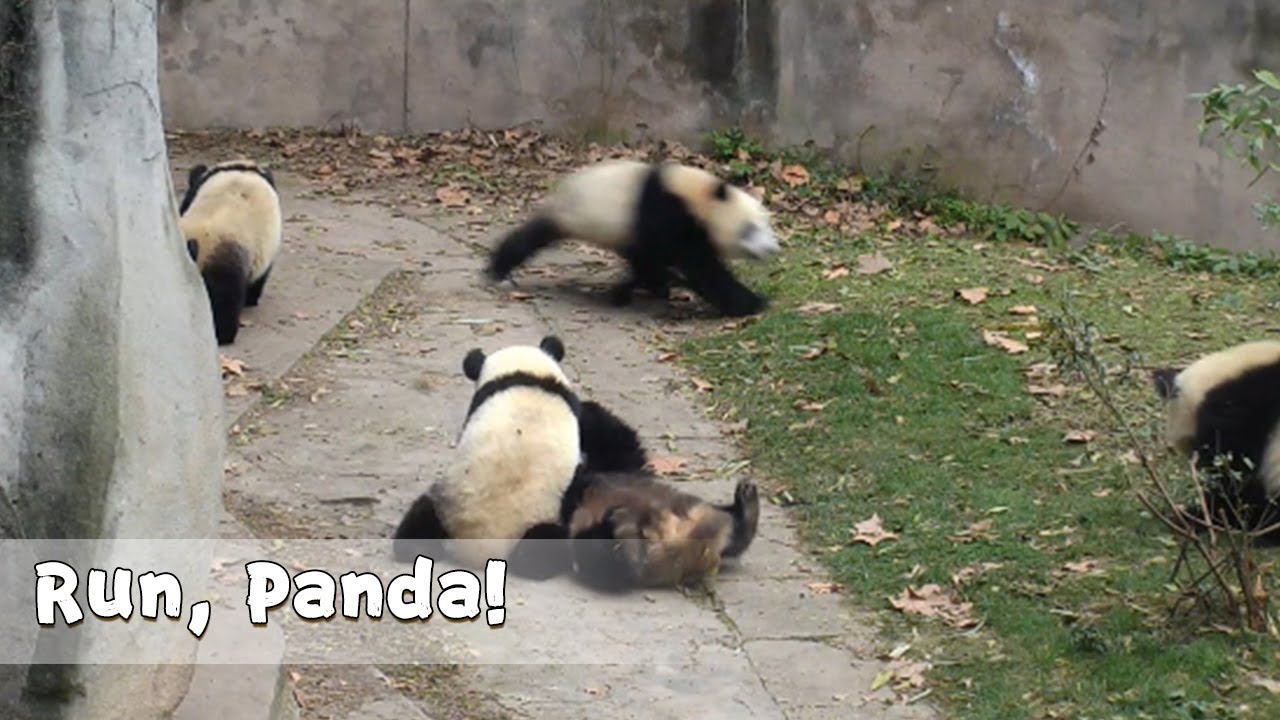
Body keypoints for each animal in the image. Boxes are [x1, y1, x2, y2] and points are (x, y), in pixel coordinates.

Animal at [485, 159, 780, 318]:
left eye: (767, 225)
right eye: (750, 228)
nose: (772, 249)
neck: (699, 198)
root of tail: (563, 187)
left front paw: (652, 287)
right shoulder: (668, 213)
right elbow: (701, 268)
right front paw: (752, 303)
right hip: (573, 214)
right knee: (532, 237)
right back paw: (498, 270)